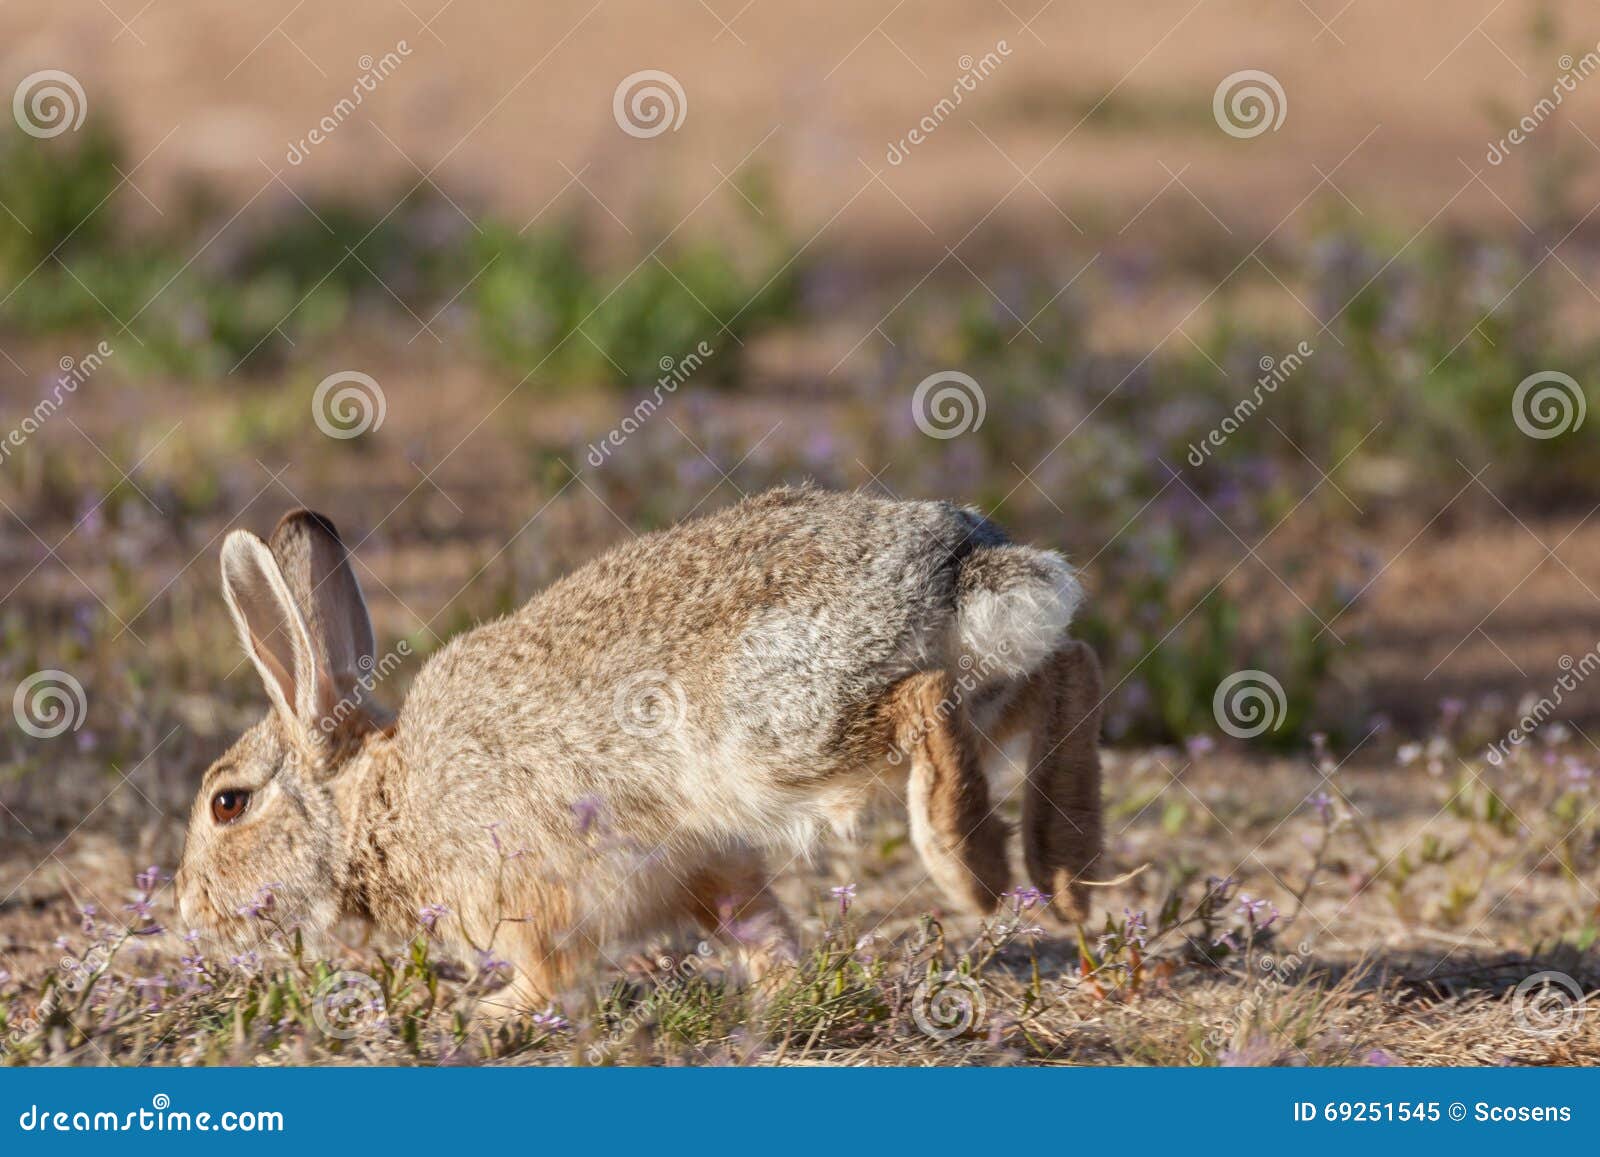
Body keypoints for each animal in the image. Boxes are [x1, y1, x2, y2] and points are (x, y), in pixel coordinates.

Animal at [175, 486, 1106, 1012]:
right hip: (983, 684)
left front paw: (485, 1017)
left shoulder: (527, 892)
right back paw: (1065, 868)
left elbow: (547, 972)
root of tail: (959, 566)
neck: (376, 807)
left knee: (927, 704)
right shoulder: (705, 865)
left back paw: (971, 867)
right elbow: (756, 921)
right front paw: (784, 991)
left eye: (228, 802)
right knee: (1068, 666)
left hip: (787, 736)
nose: (187, 908)